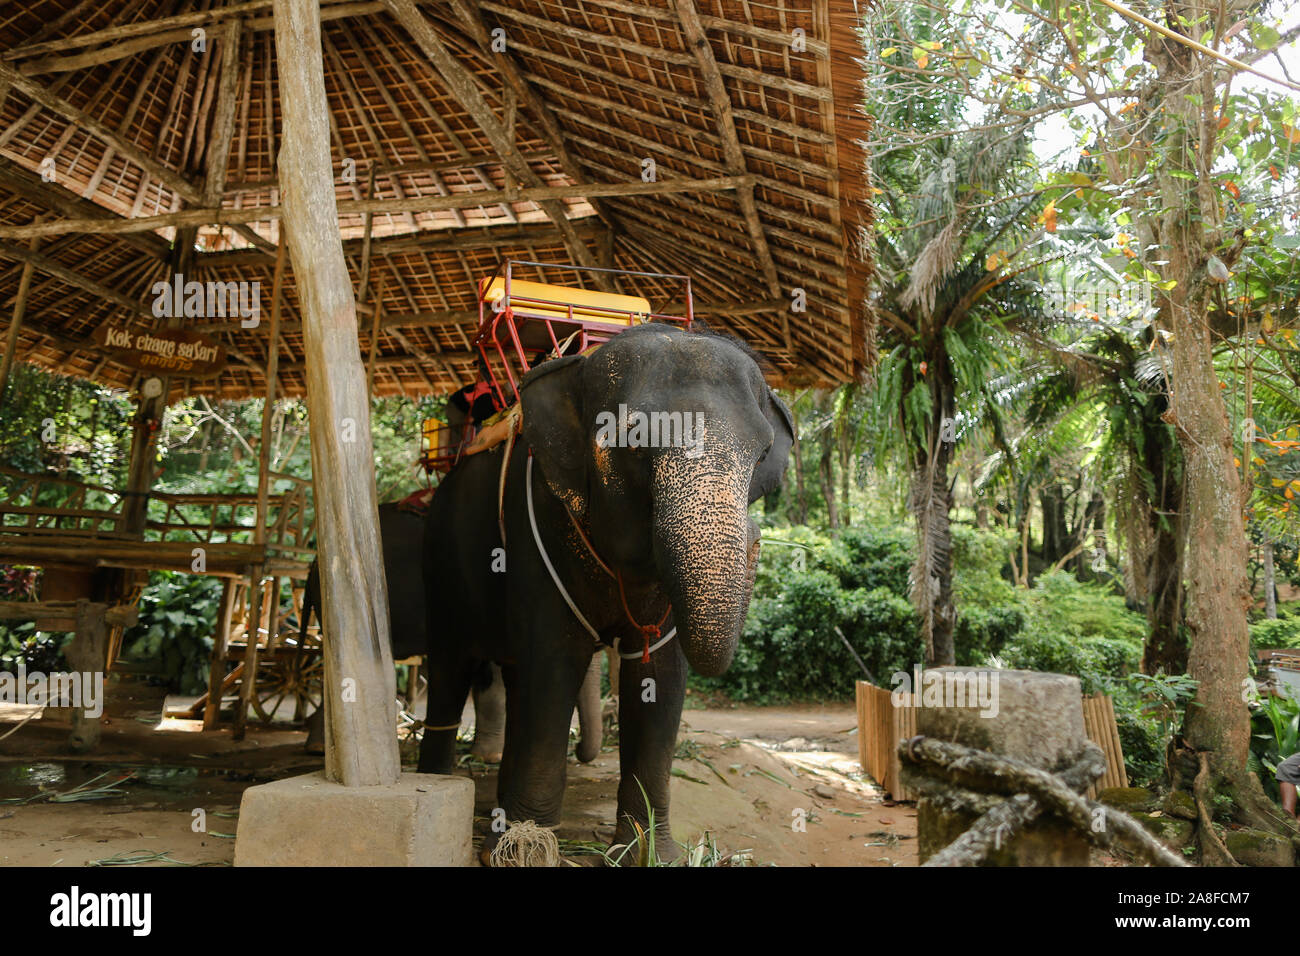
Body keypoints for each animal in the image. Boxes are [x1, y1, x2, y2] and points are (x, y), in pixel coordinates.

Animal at [418, 323, 793, 859]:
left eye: (762, 455)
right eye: (633, 443)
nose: (756, 535)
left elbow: (661, 676)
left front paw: (651, 854)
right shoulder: (536, 523)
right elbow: (554, 664)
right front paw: (526, 853)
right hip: (441, 562)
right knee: (451, 666)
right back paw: (436, 782)